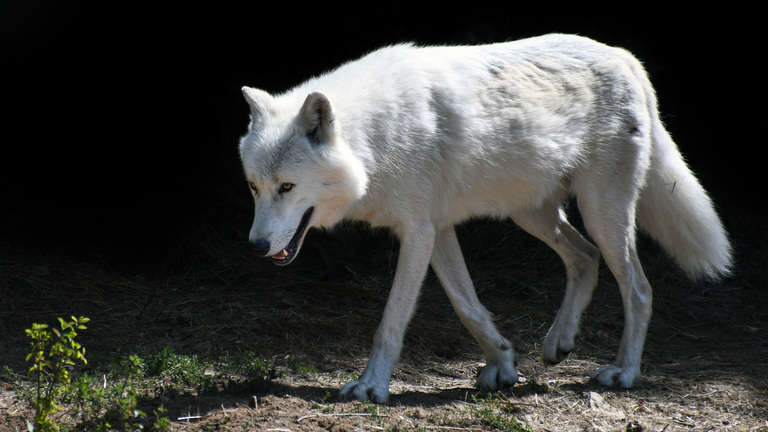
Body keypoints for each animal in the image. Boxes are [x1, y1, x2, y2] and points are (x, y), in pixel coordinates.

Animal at [237, 34, 732, 403]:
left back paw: (625, 372)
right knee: (585, 259)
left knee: (639, 288)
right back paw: (558, 342)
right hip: (533, 214)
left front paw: (371, 387)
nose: (256, 247)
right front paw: (504, 364)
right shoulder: (437, 231)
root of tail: (626, 58)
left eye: (287, 187)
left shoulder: (417, 231)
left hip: (601, 214)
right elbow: (468, 306)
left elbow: (391, 322)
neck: (374, 140)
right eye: (254, 187)